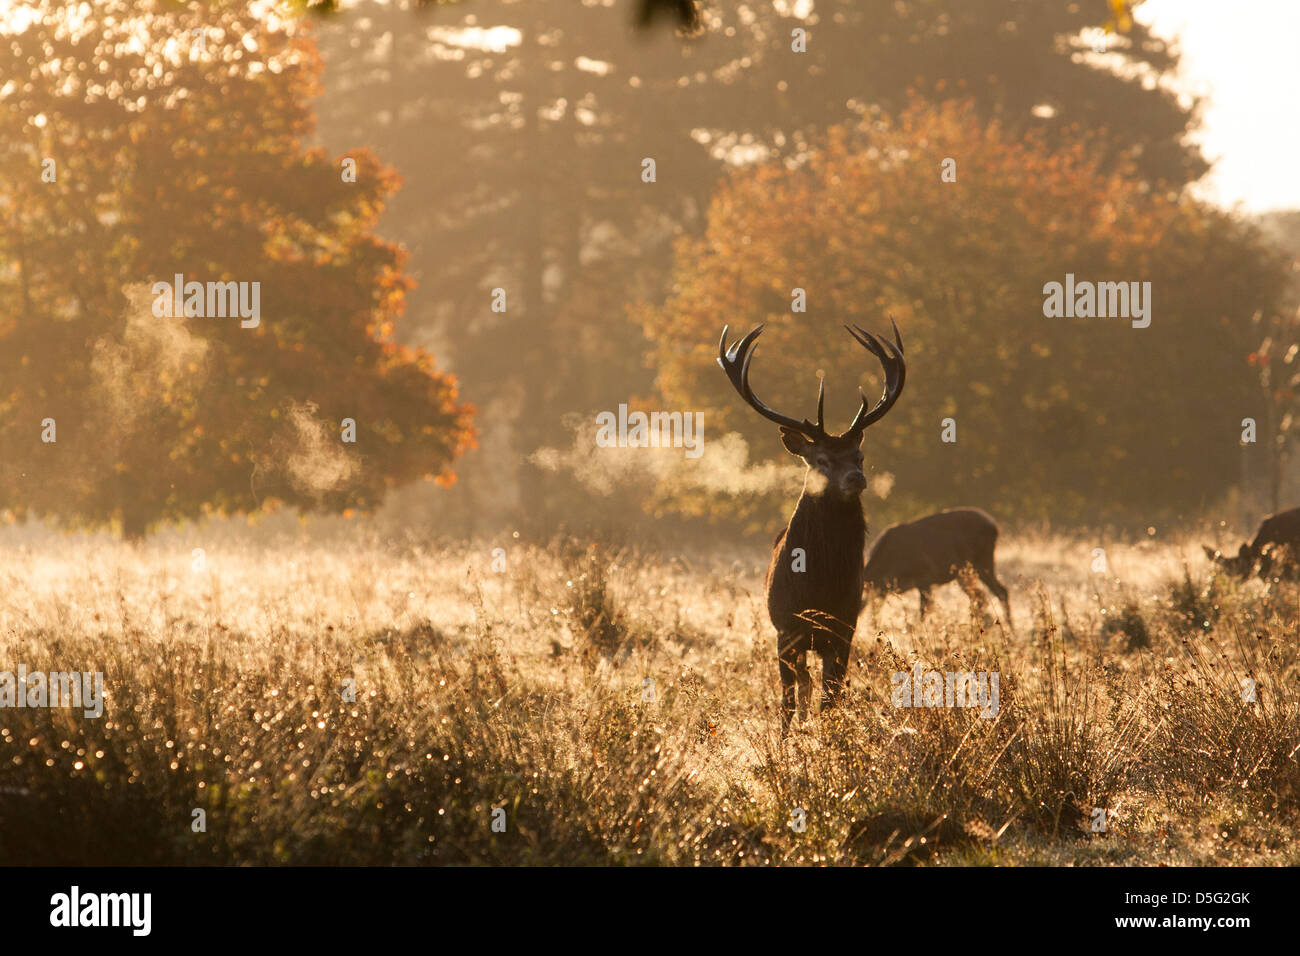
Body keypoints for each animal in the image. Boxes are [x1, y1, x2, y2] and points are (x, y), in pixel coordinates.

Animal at [718, 320, 905, 735]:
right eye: (820, 460)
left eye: (859, 456)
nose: (856, 478)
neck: (818, 583)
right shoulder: (786, 631)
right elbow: (787, 703)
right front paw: (787, 742)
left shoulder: (844, 628)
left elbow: (830, 700)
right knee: (800, 687)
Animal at [861, 508, 1011, 626]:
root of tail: (995, 526)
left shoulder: (926, 576)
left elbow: (923, 612)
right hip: (967, 571)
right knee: (985, 595)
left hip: (983, 561)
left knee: (997, 592)